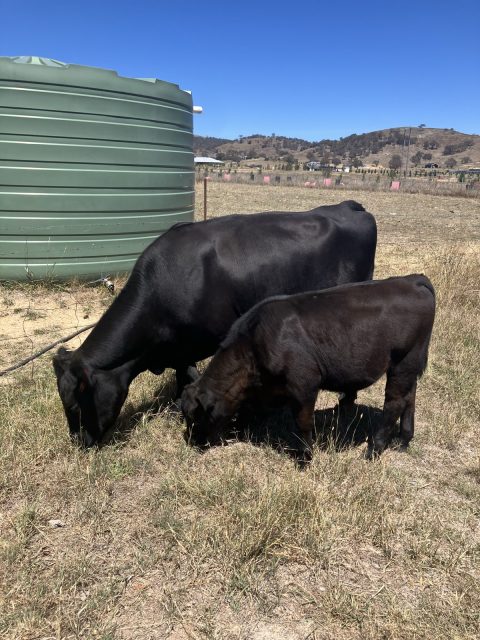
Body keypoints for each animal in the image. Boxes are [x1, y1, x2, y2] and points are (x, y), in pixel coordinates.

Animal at [53, 200, 376, 447]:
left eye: (74, 405)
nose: (79, 443)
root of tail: (350, 205)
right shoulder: (180, 351)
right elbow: (183, 379)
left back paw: (345, 404)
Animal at [181, 275, 435, 460]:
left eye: (195, 417)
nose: (192, 442)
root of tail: (412, 280)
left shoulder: (304, 383)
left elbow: (303, 421)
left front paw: (305, 457)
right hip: (410, 364)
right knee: (410, 397)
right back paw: (404, 440)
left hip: (403, 361)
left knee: (395, 402)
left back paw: (374, 450)